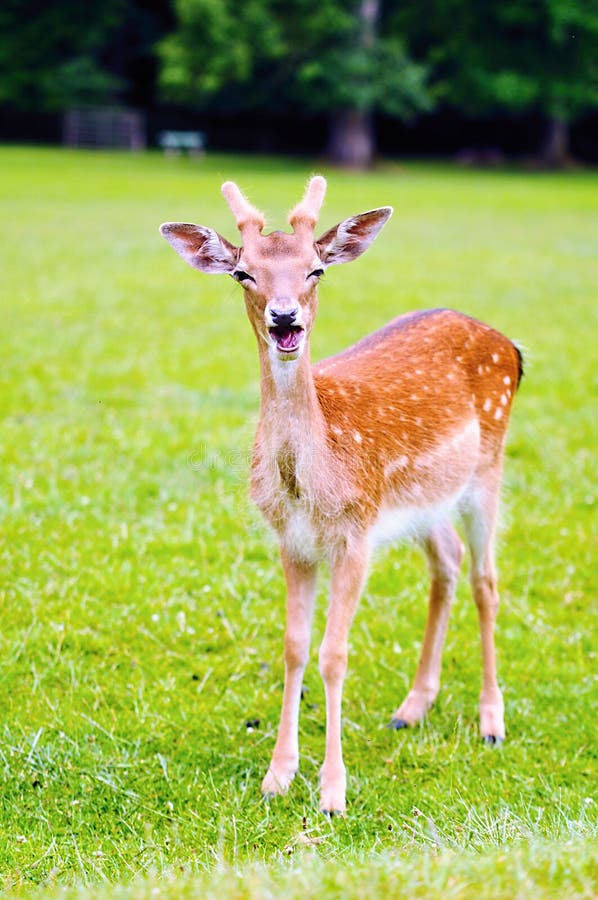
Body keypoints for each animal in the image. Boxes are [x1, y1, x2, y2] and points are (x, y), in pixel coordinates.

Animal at [159, 176, 522, 815]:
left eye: (316, 269)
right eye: (243, 273)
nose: (284, 318)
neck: (308, 485)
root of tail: (514, 349)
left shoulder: (355, 533)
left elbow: (334, 653)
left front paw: (332, 790)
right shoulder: (293, 541)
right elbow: (294, 646)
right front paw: (278, 775)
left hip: (487, 470)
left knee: (486, 580)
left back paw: (491, 719)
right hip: (425, 502)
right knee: (447, 562)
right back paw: (413, 706)